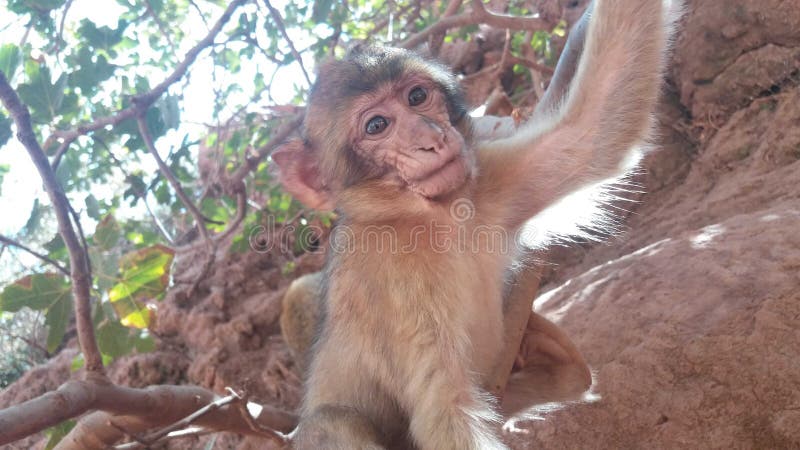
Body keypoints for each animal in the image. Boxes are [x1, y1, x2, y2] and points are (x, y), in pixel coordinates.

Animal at [273, 0, 682, 448]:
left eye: (417, 96)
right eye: (377, 125)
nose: (431, 137)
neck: (436, 219)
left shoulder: (486, 176)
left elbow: (592, 132)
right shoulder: (390, 275)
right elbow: (445, 411)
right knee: (330, 421)